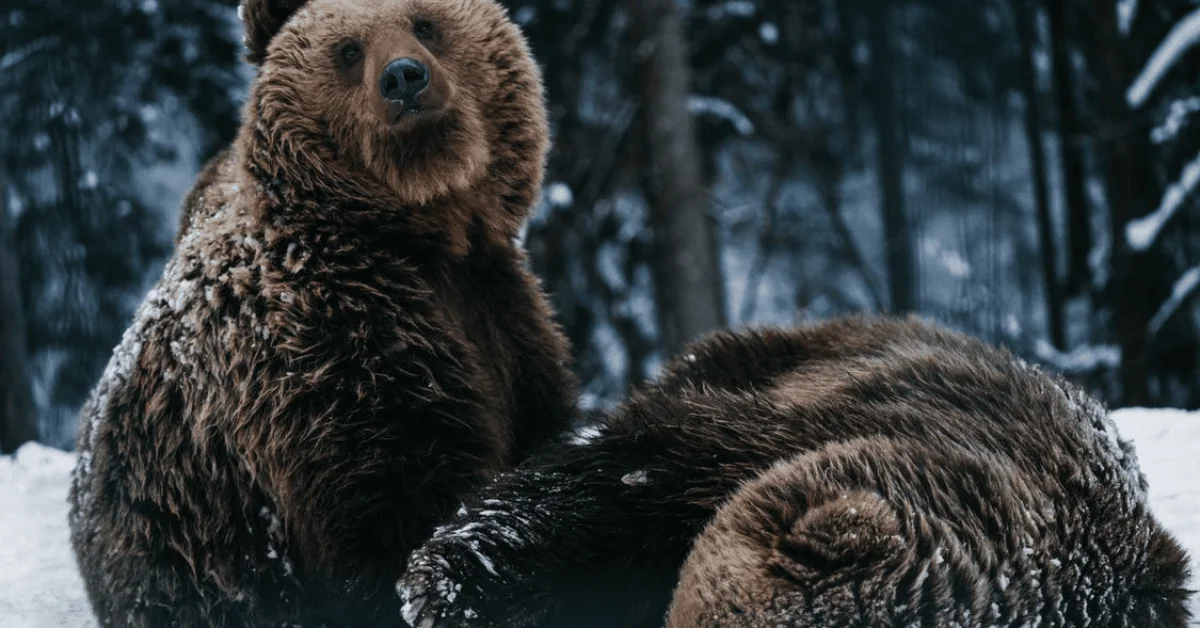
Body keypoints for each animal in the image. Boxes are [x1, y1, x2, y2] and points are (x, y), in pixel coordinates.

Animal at [67, 0, 577, 625]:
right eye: (349, 50)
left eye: (425, 24)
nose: (404, 77)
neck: (424, 233)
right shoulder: (324, 345)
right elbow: (391, 502)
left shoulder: (499, 309)